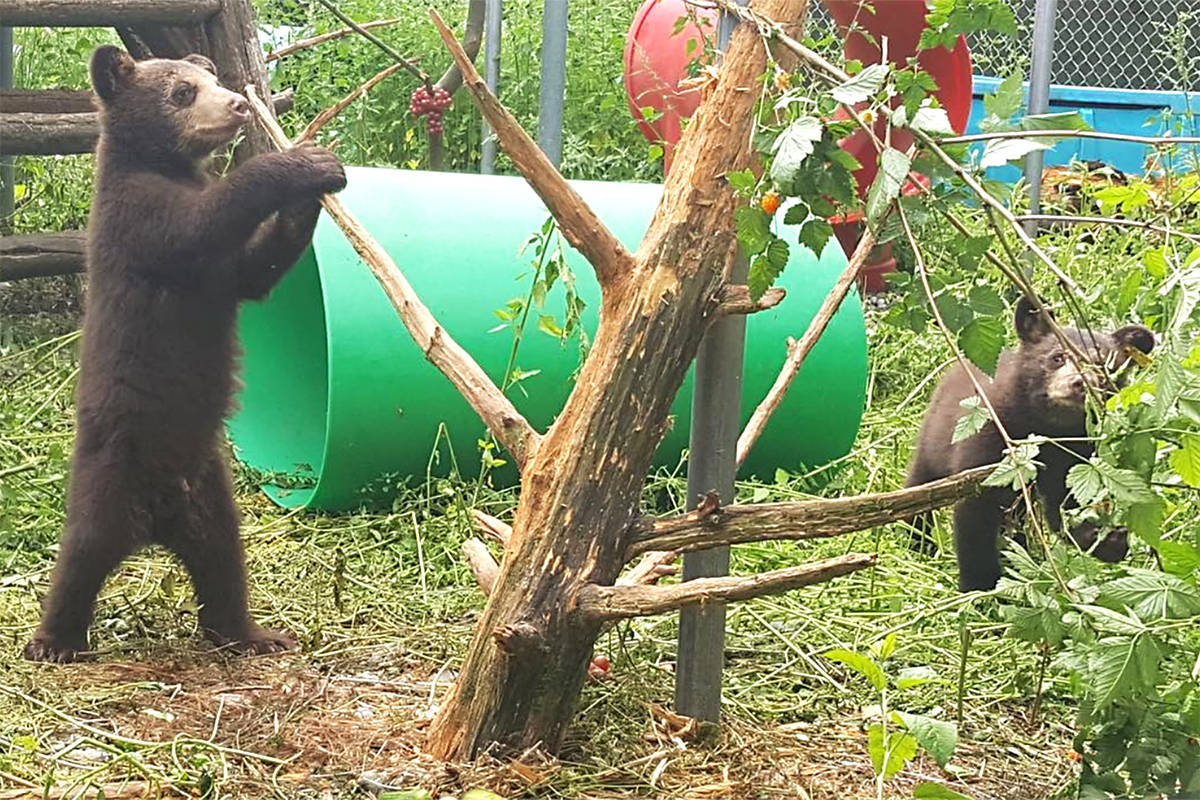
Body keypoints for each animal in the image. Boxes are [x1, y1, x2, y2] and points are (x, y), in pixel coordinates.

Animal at [23, 46, 347, 662]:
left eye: (211, 78)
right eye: (182, 91)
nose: (240, 103)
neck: (163, 163)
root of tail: (156, 521)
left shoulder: (223, 273)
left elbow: (254, 271)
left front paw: (315, 184)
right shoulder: (138, 217)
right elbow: (203, 222)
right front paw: (304, 163)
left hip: (212, 493)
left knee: (224, 563)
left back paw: (253, 633)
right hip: (109, 474)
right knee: (81, 555)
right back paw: (53, 639)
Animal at [904, 296, 1155, 591]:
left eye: (1104, 366)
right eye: (1058, 357)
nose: (1079, 383)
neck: (1046, 428)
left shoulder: (1072, 455)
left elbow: (1066, 503)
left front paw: (1107, 538)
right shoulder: (987, 444)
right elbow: (974, 518)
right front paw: (979, 586)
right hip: (933, 443)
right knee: (920, 489)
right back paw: (917, 541)